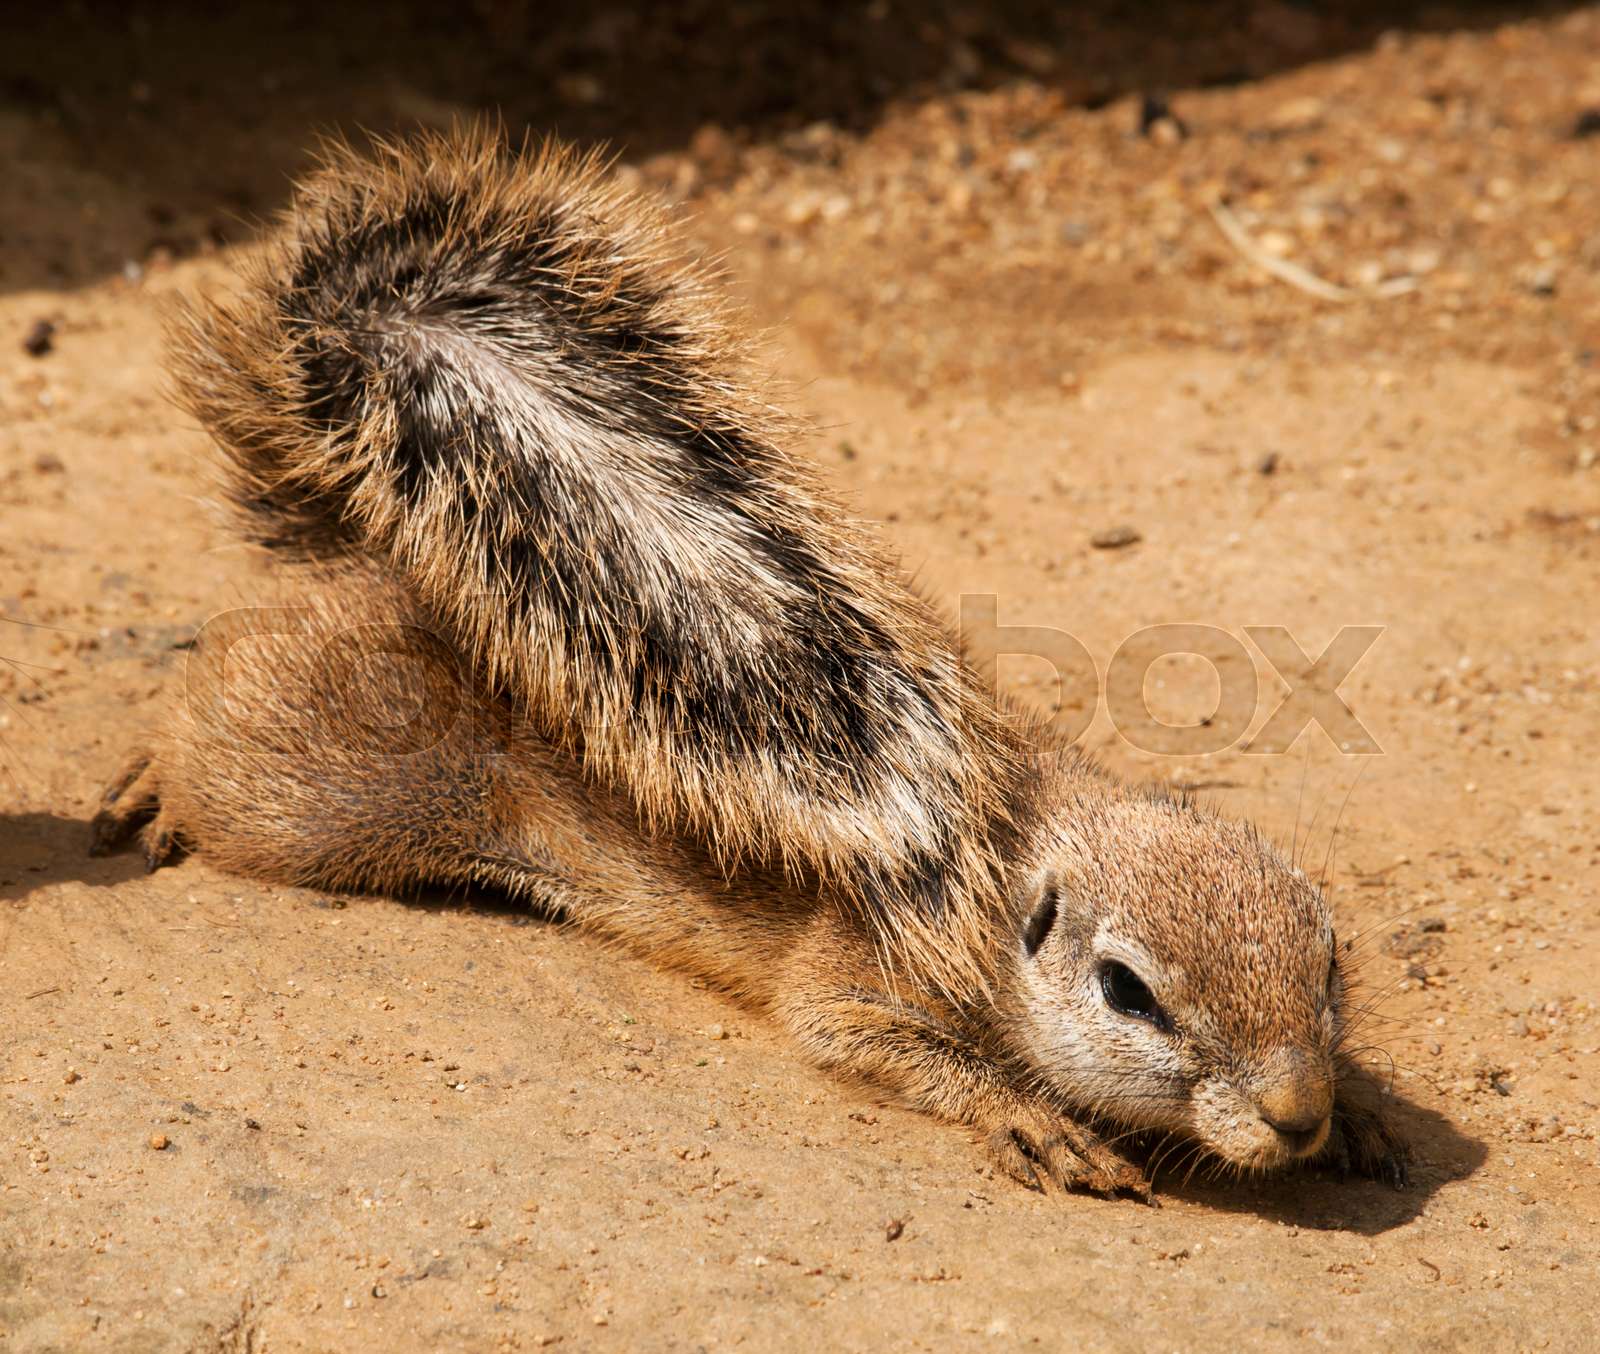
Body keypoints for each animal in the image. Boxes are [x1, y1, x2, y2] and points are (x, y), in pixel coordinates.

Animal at [90, 129, 1407, 1197]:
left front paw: (1362, 1115)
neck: (1002, 862)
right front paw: (1027, 1119)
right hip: (328, 789)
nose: (1294, 1113)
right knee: (216, 719)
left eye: (1330, 956)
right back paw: (150, 782)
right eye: (1128, 990)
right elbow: (850, 1034)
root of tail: (383, 555)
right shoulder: (857, 975)